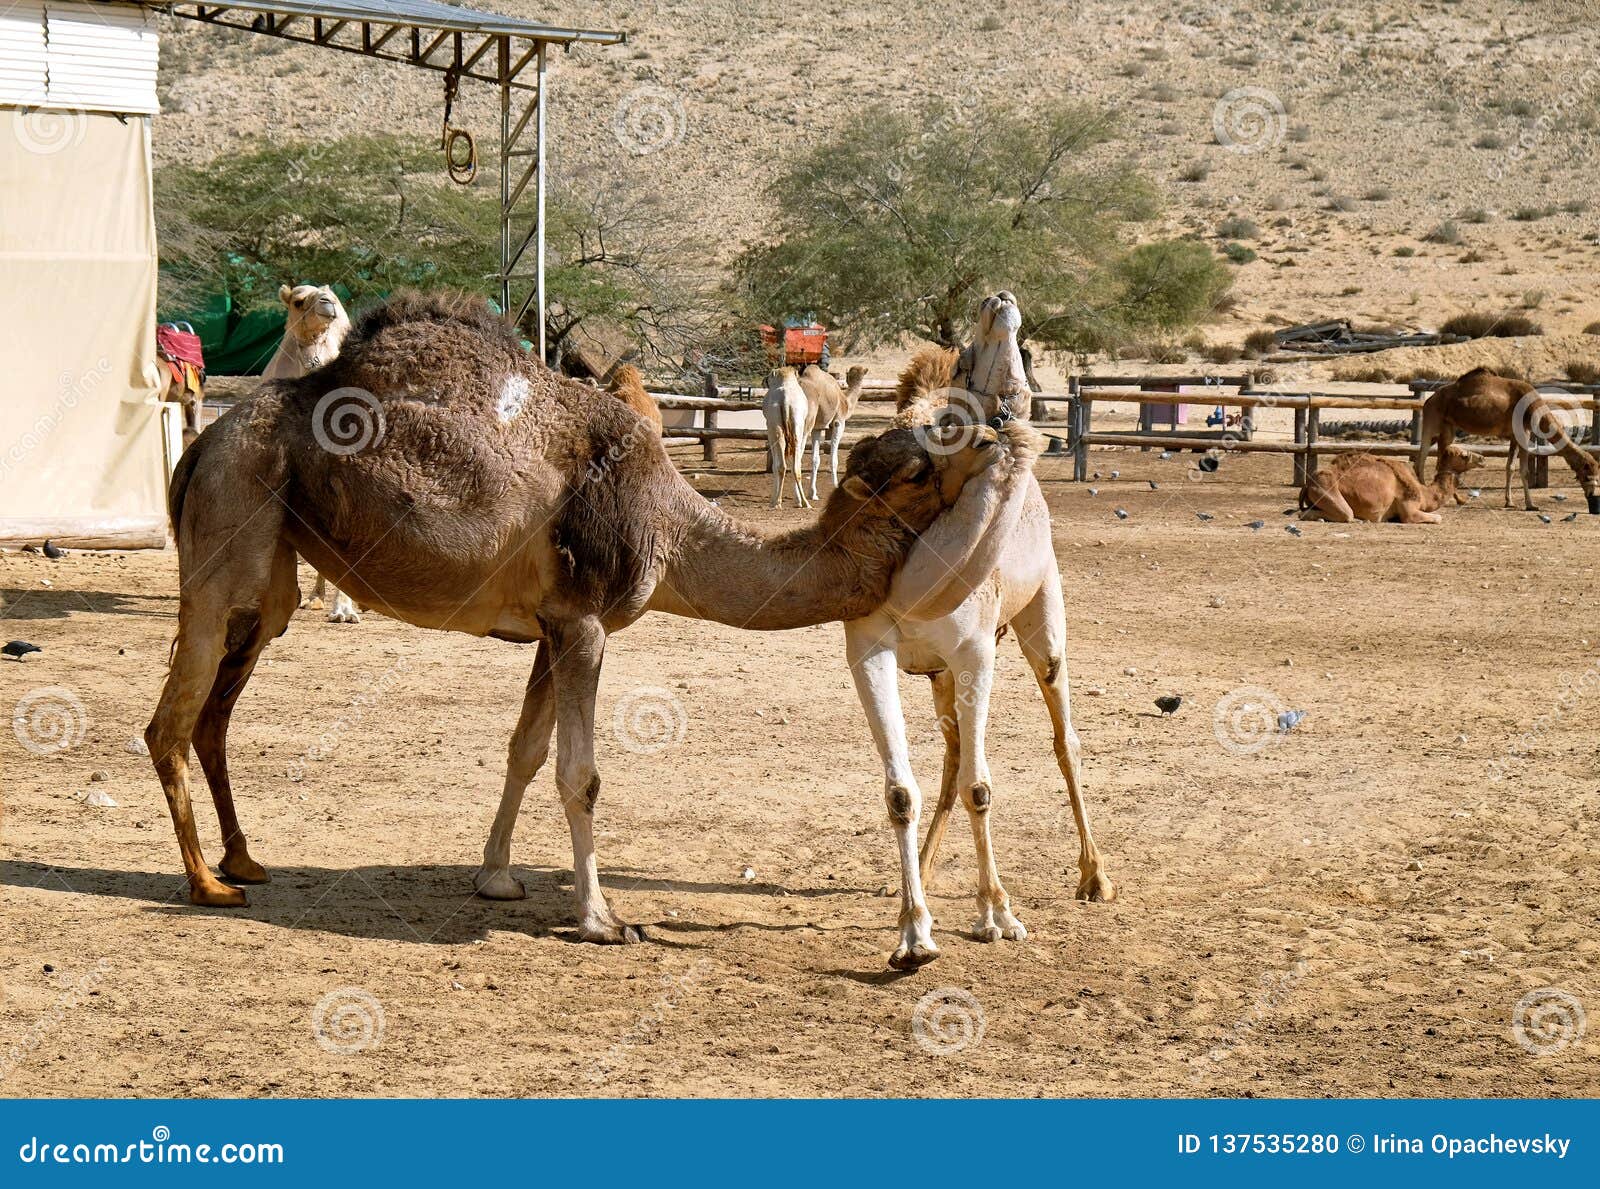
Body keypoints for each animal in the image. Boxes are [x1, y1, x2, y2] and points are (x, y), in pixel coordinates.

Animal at [763, 367, 811, 508]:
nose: (764, 380)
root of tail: (785, 400)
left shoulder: (769, 431)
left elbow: (774, 465)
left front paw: (772, 500)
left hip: (775, 427)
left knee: (781, 466)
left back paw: (776, 503)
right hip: (797, 426)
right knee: (796, 467)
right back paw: (805, 503)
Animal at [796, 364, 869, 499]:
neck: (845, 401)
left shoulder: (817, 427)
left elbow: (815, 459)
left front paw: (813, 493)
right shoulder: (838, 421)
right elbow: (834, 458)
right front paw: (836, 485)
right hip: (804, 425)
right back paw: (798, 497)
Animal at [846, 291, 1114, 970]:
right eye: (967, 357)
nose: (998, 302)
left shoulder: (975, 654)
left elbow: (981, 786)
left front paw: (997, 914)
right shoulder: (869, 650)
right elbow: (902, 792)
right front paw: (913, 934)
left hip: (1041, 617)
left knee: (1063, 740)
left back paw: (1095, 877)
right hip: (938, 673)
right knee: (949, 756)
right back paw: (924, 873)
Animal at [1299, 446, 1484, 523]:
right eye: (1463, 455)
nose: (1482, 458)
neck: (1424, 493)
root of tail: (1307, 485)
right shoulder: (1409, 509)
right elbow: (1438, 518)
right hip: (1327, 488)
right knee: (1345, 514)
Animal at [1415, 367, 1600, 514]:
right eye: (1586, 476)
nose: (1592, 496)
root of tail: (1428, 400)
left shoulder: (1514, 436)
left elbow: (1509, 467)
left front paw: (1509, 502)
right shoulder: (1523, 433)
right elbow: (1524, 470)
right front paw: (1530, 505)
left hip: (1447, 429)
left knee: (1439, 459)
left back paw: (1457, 499)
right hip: (1432, 422)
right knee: (1422, 459)